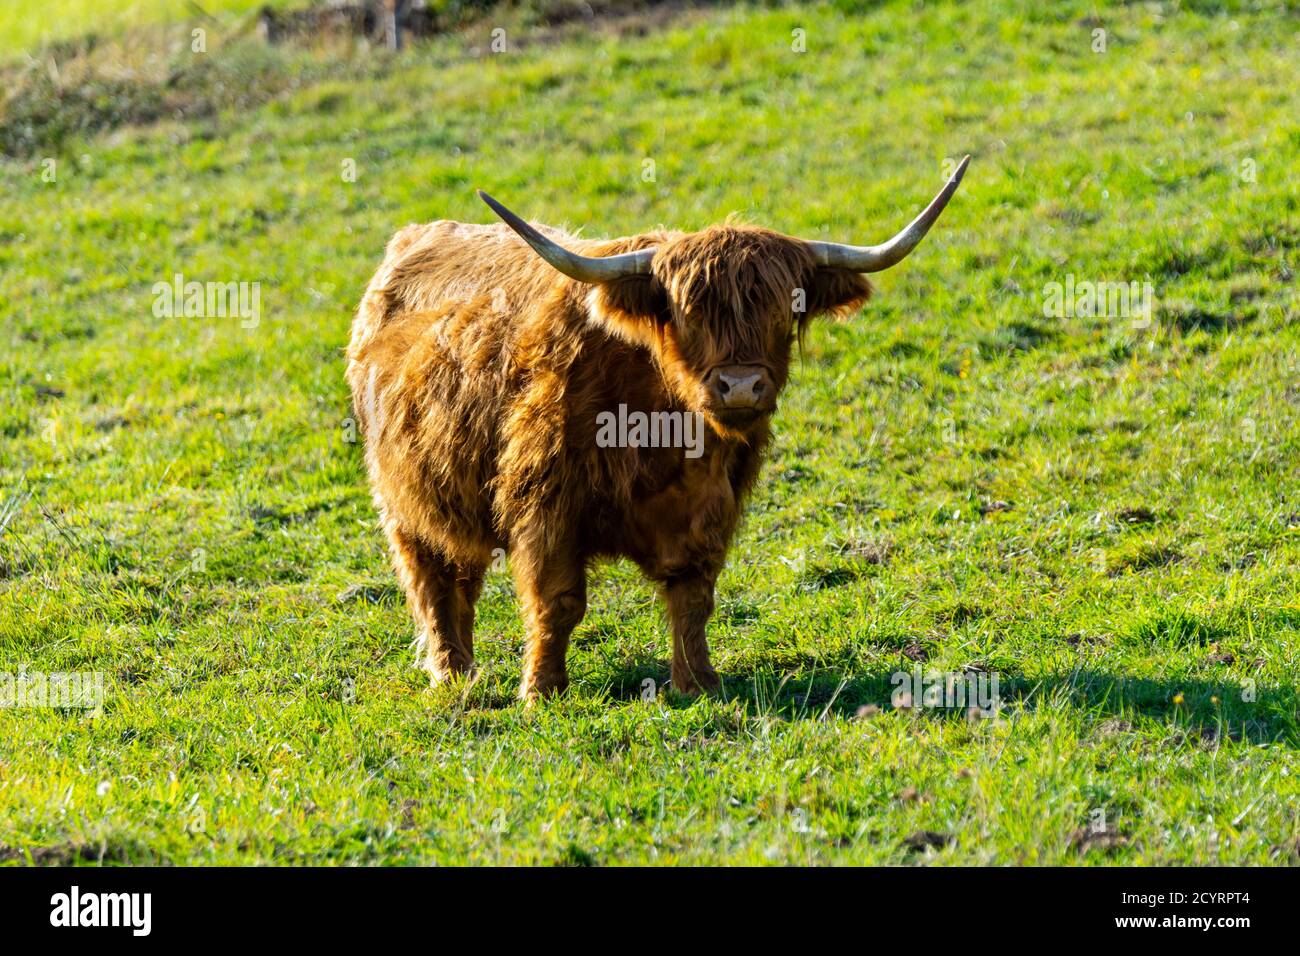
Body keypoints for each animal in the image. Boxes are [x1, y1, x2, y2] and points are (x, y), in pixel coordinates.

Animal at [346, 156, 969, 702]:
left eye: (784, 310)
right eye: (687, 315)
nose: (740, 387)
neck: (665, 437)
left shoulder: (715, 504)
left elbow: (694, 598)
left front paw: (698, 683)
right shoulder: (546, 501)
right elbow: (558, 601)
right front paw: (541, 691)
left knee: (461, 578)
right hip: (401, 500)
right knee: (431, 579)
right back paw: (452, 675)